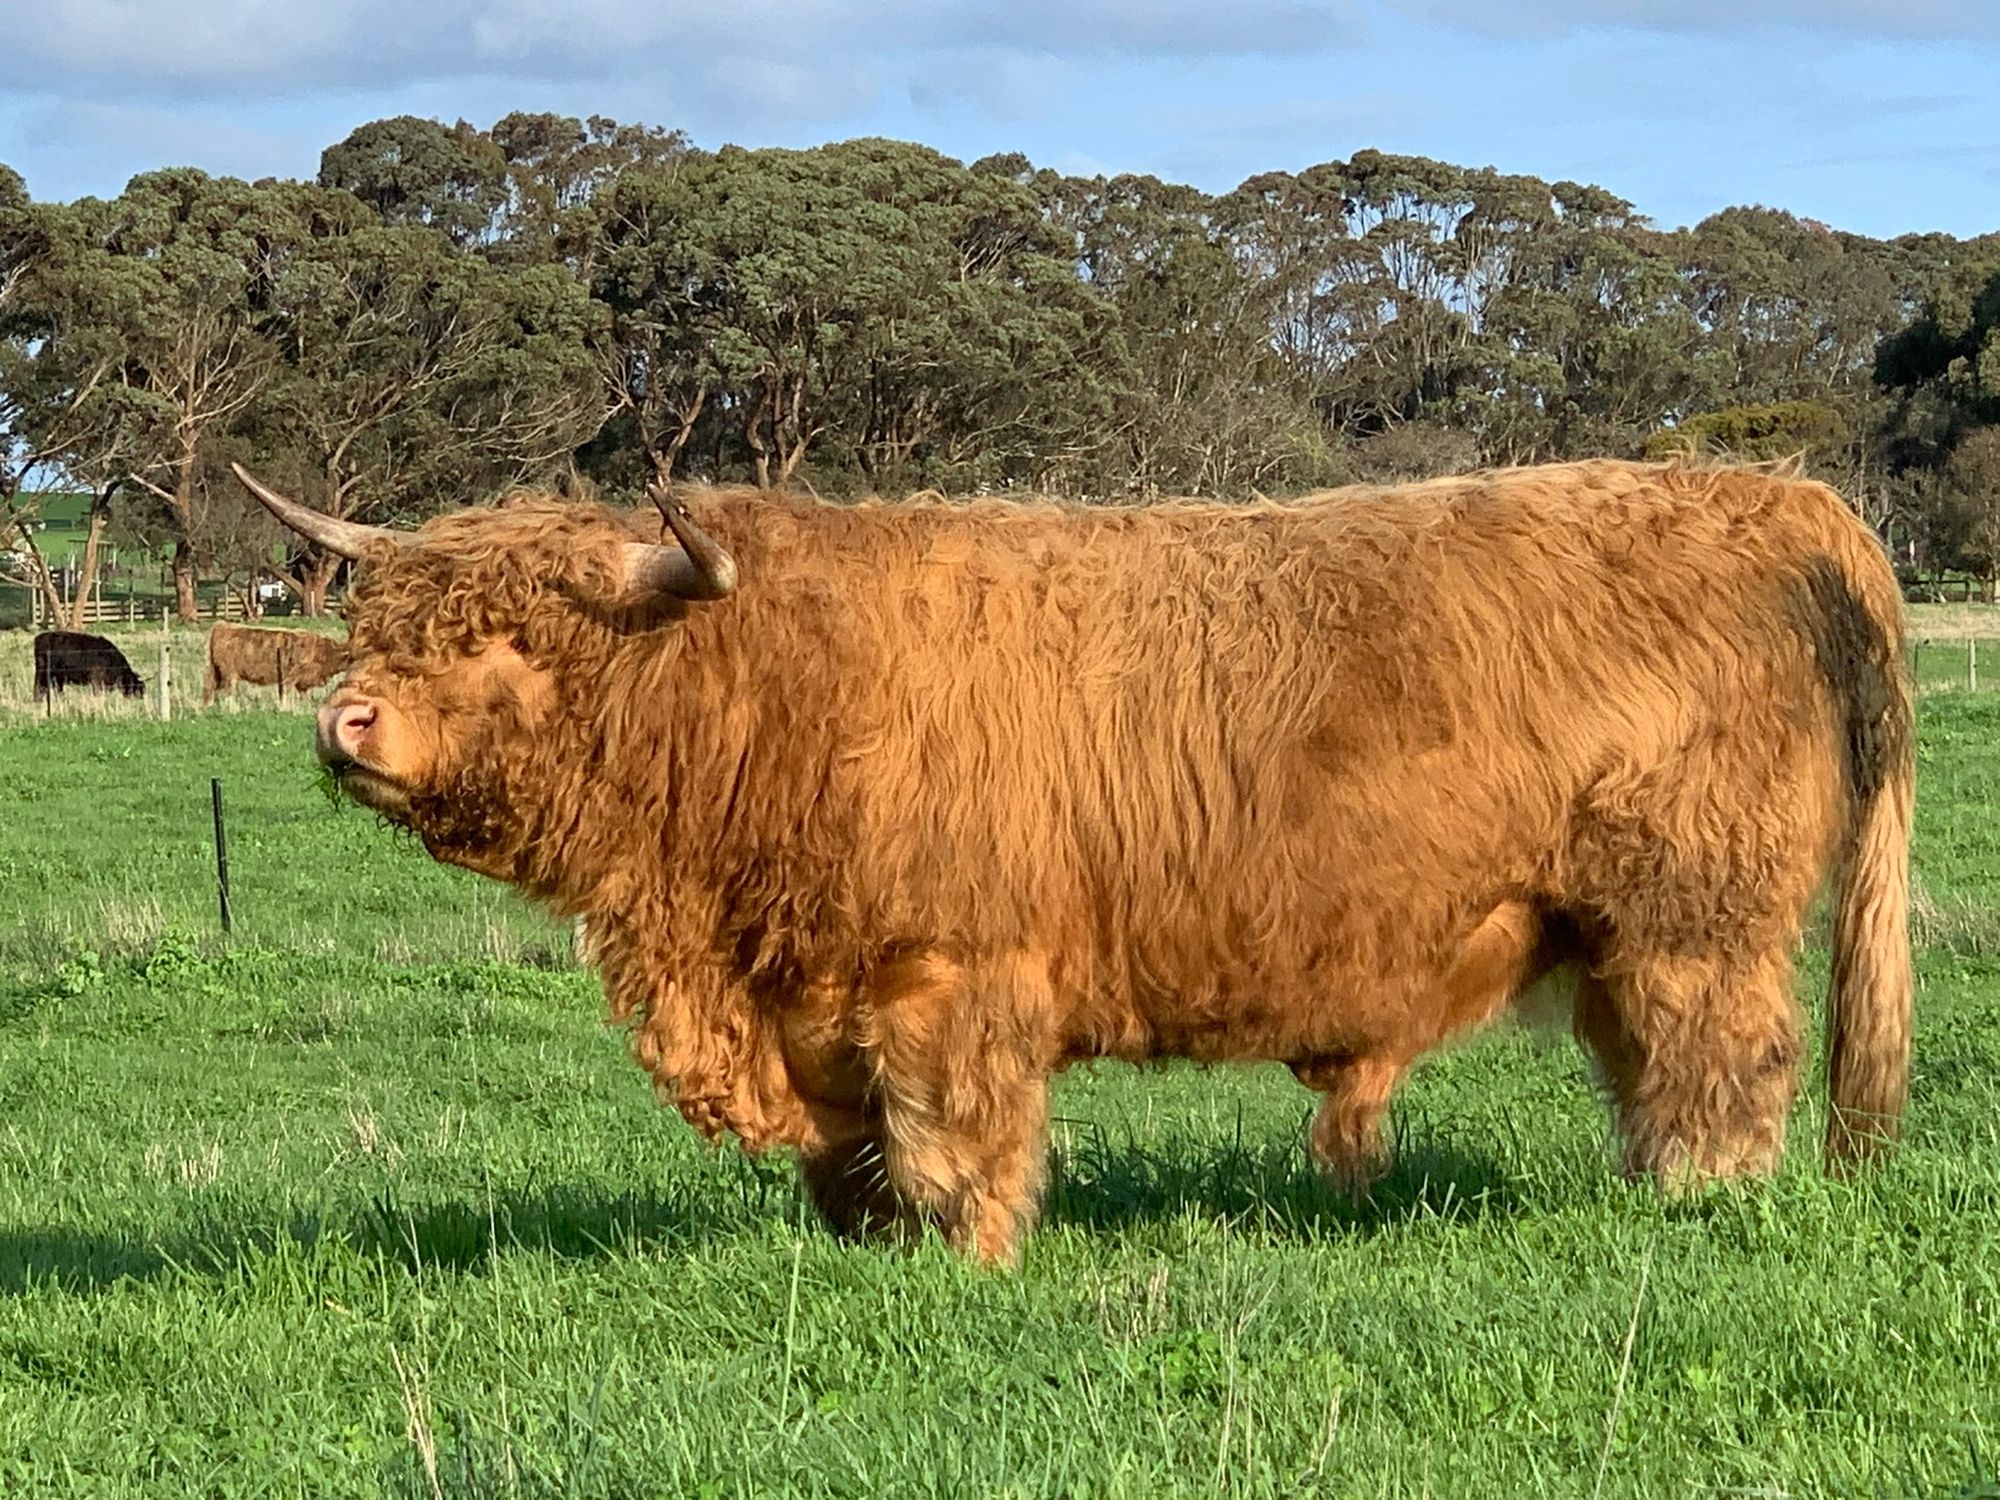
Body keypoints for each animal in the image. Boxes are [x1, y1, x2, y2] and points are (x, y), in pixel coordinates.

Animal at [204, 622, 348, 705]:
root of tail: (222, 625)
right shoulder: (290, 676)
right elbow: (285, 693)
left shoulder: (302, 681)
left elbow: (302, 694)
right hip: (229, 674)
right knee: (228, 692)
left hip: (217, 674)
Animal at [233, 457, 1914, 1266]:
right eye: (384, 622)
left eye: (512, 642)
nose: (345, 718)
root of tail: (1780, 496)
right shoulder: (819, 1002)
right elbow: (856, 1161)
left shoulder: (949, 980)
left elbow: (951, 1142)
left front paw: (969, 1265)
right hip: (1620, 930)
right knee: (1649, 1067)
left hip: (1697, 918)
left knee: (1724, 1070)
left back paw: (1697, 1206)